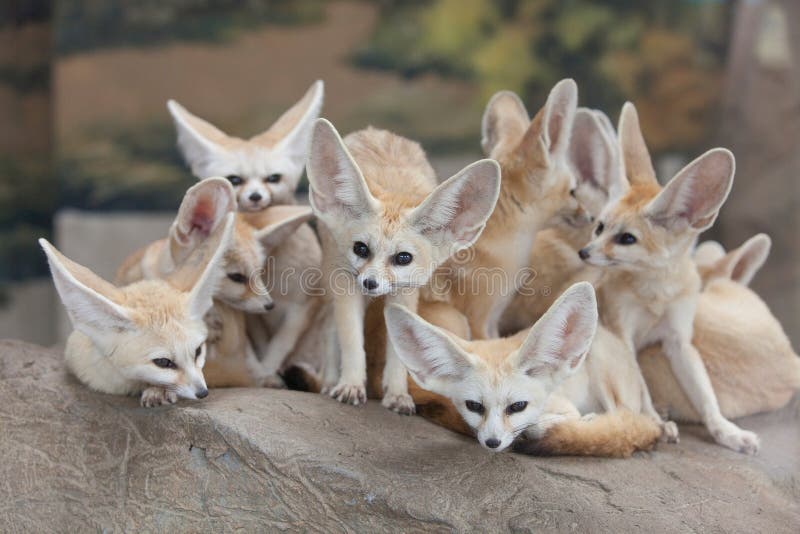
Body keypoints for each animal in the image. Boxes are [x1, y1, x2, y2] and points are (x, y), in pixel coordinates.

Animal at [305, 118, 501, 413]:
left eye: (403, 258)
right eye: (360, 249)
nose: (370, 283)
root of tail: (374, 130)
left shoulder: (404, 293)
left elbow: (400, 348)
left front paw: (398, 393)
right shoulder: (347, 286)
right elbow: (351, 341)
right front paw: (351, 384)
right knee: (330, 327)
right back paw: (330, 381)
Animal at [385, 282, 661, 457]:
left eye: (518, 406)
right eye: (474, 406)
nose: (492, 442)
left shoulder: (565, 408)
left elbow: (546, 424)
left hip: (607, 376)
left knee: (626, 420)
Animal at [578, 101, 759, 454]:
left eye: (627, 239)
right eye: (600, 227)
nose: (584, 252)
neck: (655, 293)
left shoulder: (679, 340)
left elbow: (706, 397)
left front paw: (727, 431)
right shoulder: (623, 334)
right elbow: (640, 386)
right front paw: (655, 423)